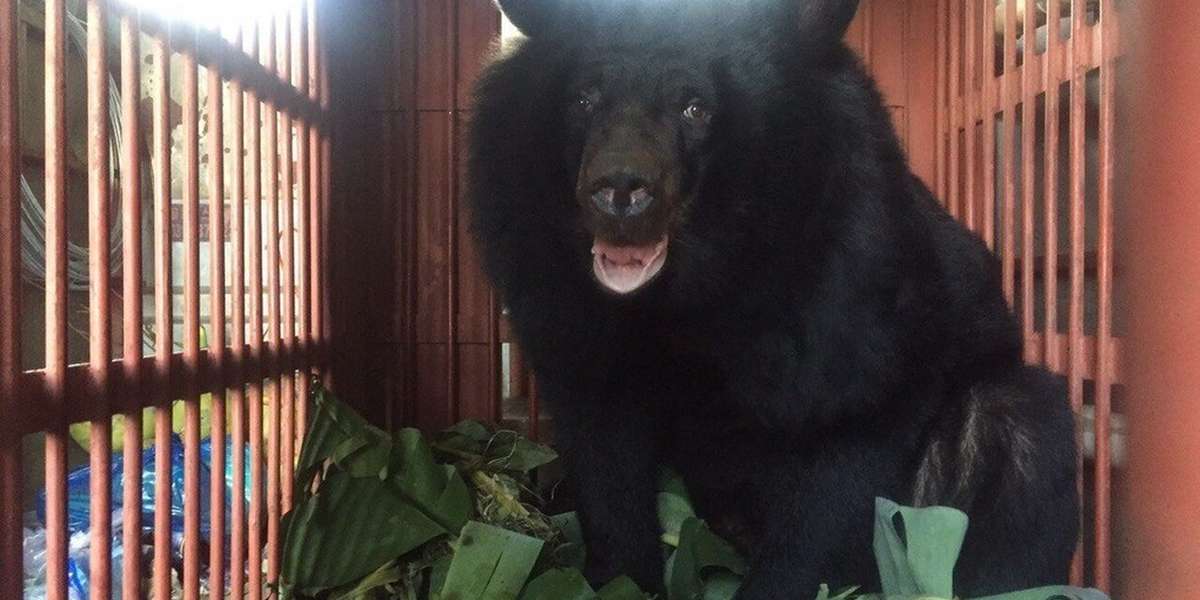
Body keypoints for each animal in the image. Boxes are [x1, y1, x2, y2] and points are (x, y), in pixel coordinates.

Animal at [465, 0, 1079, 597]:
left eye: (695, 109)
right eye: (583, 99)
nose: (618, 189)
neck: (685, 289)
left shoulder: (849, 294)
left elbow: (838, 466)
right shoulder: (560, 300)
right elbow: (604, 458)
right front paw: (617, 581)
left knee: (1018, 441)